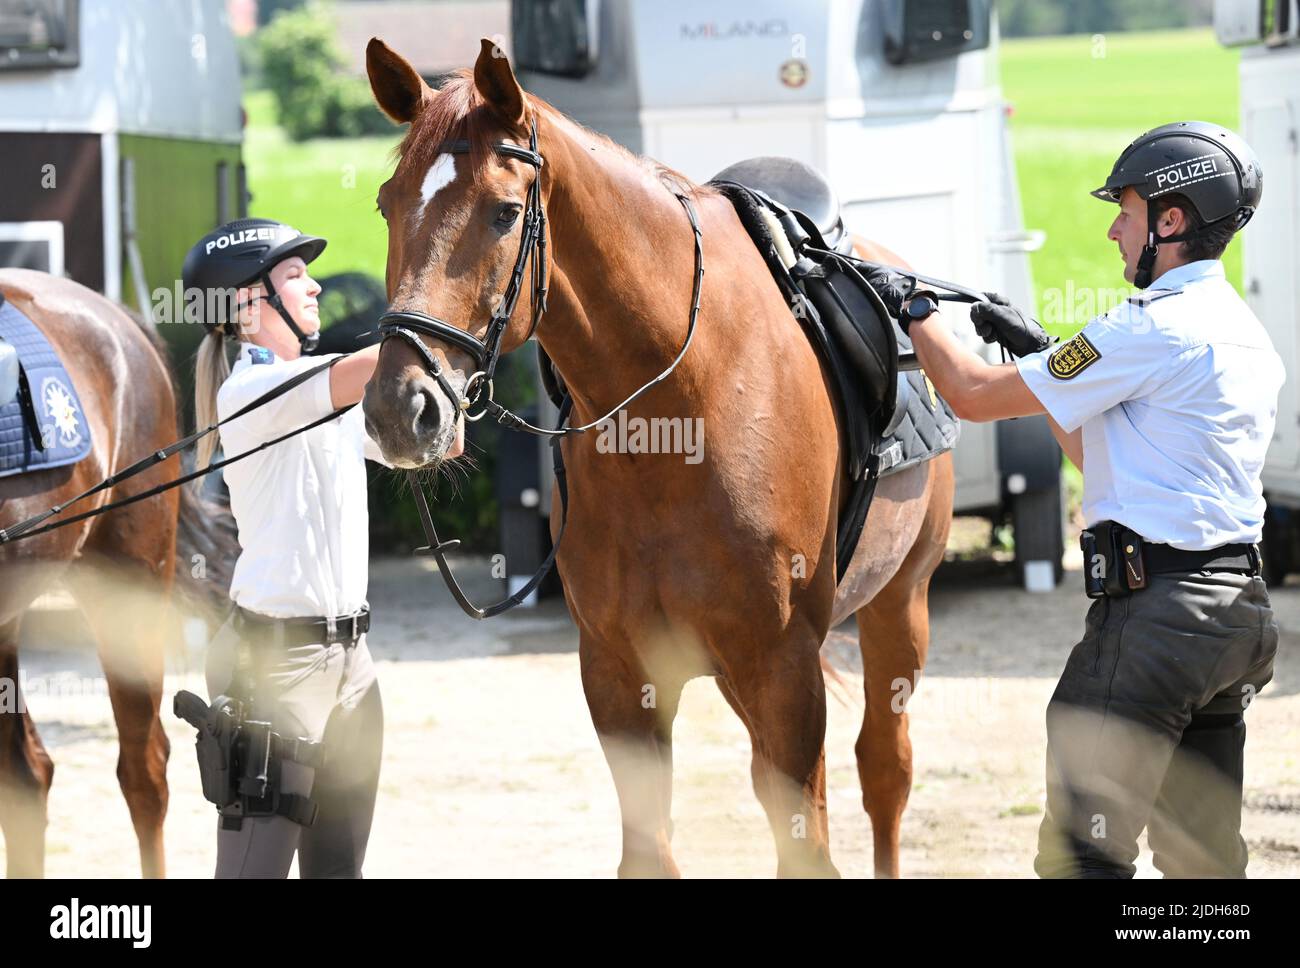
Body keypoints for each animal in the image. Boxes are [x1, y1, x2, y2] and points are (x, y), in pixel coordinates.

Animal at [361, 39, 954, 877]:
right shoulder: (620, 673)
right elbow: (649, 849)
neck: (677, 413)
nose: (399, 409)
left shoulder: (784, 668)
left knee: (885, 770)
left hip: (901, 604)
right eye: (388, 206)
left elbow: (807, 841)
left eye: (505, 212)